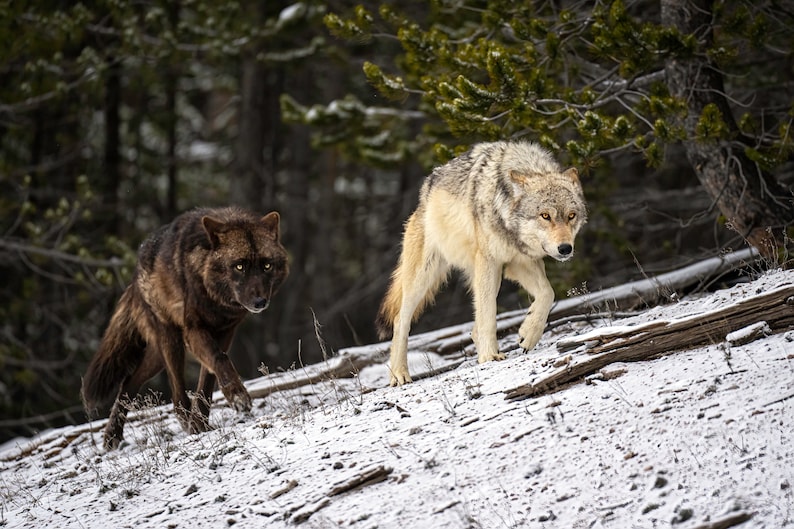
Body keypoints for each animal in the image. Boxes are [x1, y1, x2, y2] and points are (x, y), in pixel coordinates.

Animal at [81, 206, 289, 449]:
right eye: (239, 266)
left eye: (266, 265)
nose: (260, 302)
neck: (215, 299)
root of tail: (135, 271)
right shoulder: (194, 330)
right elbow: (219, 359)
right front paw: (236, 397)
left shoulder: (225, 332)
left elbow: (207, 380)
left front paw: (200, 423)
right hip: (171, 343)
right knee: (176, 392)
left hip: (158, 355)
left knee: (129, 381)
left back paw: (113, 436)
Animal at [376, 141, 586, 386]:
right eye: (545, 216)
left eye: (571, 215)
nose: (565, 249)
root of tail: (423, 195)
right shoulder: (491, 260)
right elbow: (488, 314)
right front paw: (490, 356)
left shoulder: (520, 262)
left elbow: (547, 294)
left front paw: (529, 333)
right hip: (425, 278)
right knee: (401, 321)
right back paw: (399, 374)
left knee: (475, 326)